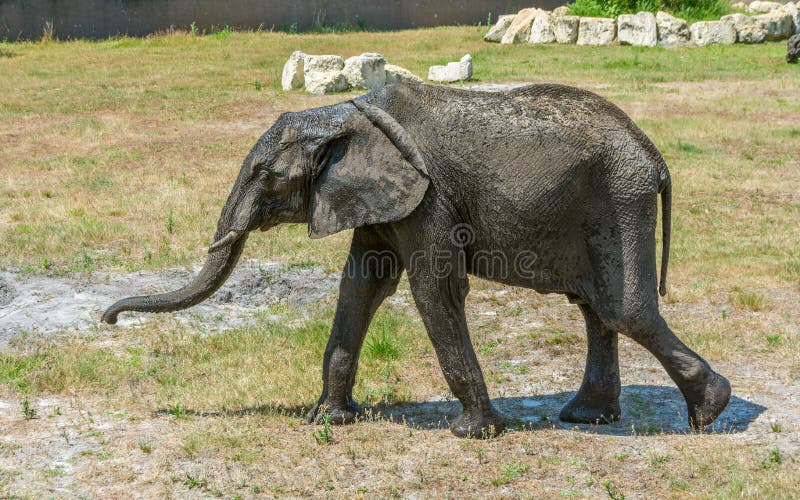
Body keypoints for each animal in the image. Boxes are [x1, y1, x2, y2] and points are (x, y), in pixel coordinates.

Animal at [102, 82, 731, 438]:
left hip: (619, 199)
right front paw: (328, 421)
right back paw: (589, 417)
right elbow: (361, 287)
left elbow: (434, 290)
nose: (108, 320)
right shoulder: (379, 198)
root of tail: (654, 152)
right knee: (595, 307)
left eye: (264, 174)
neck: (347, 112)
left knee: (623, 309)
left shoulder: (428, 197)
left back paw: (709, 413)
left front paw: (473, 433)